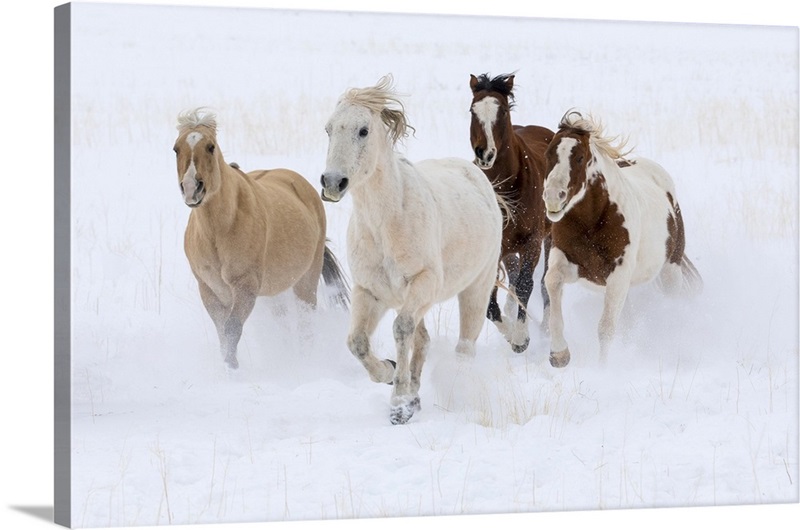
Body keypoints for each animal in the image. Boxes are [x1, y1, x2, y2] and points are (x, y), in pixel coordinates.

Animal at [173, 108, 349, 371]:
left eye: (211, 146)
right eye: (176, 148)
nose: (192, 188)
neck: (219, 230)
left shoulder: (245, 286)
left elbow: (232, 328)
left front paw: (233, 370)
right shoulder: (209, 289)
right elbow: (222, 332)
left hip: (305, 281)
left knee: (306, 323)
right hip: (274, 294)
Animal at [320, 75, 503, 424]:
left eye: (363, 130)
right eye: (328, 129)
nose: (332, 183)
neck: (385, 225)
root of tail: (477, 175)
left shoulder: (423, 282)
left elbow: (401, 329)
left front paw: (399, 403)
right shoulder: (370, 292)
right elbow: (357, 342)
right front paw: (389, 374)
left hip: (476, 288)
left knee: (464, 347)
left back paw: (454, 391)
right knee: (425, 339)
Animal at [469, 73, 554, 353]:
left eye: (503, 111)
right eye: (472, 110)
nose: (484, 153)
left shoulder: (533, 241)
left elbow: (527, 283)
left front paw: (521, 338)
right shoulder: (495, 249)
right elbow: (490, 301)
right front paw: (509, 331)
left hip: (550, 237)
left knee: (544, 282)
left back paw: (547, 326)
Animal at [542, 110, 702, 367]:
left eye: (579, 157)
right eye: (549, 154)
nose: (554, 198)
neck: (593, 221)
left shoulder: (618, 275)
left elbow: (605, 329)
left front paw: (603, 369)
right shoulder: (567, 261)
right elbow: (552, 283)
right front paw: (559, 355)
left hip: (670, 271)